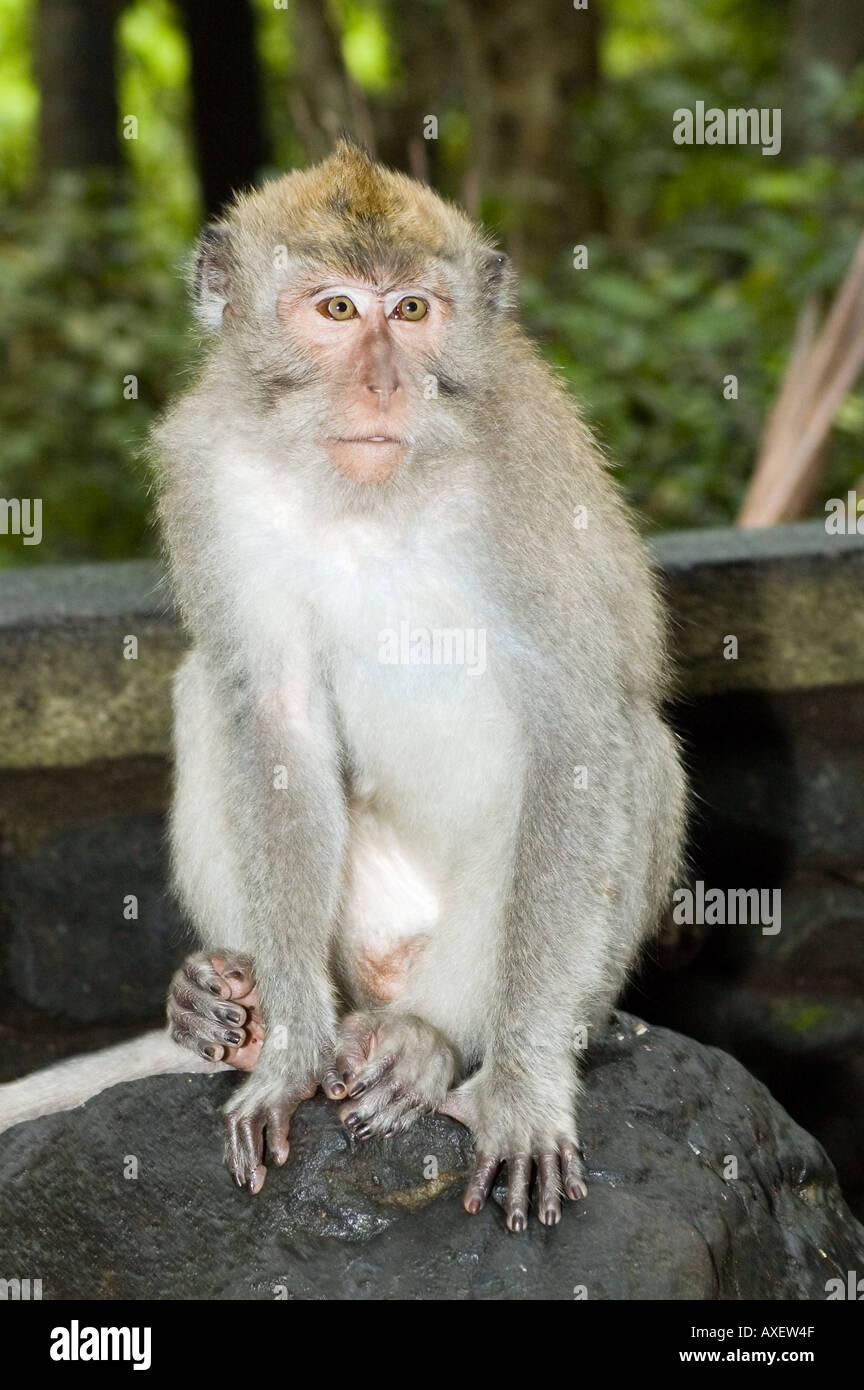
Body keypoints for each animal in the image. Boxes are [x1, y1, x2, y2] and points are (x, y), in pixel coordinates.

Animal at [155, 139, 686, 1232]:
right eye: (337, 310)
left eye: (411, 310)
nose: (385, 387)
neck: (364, 493)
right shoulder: (208, 475)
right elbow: (274, 720)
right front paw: (287, 1057)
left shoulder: (528, 478)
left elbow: (577, 729)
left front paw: (523, 1092)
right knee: (204, 692)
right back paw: (228, 1001)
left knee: (634, 749)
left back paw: (426, 1046)